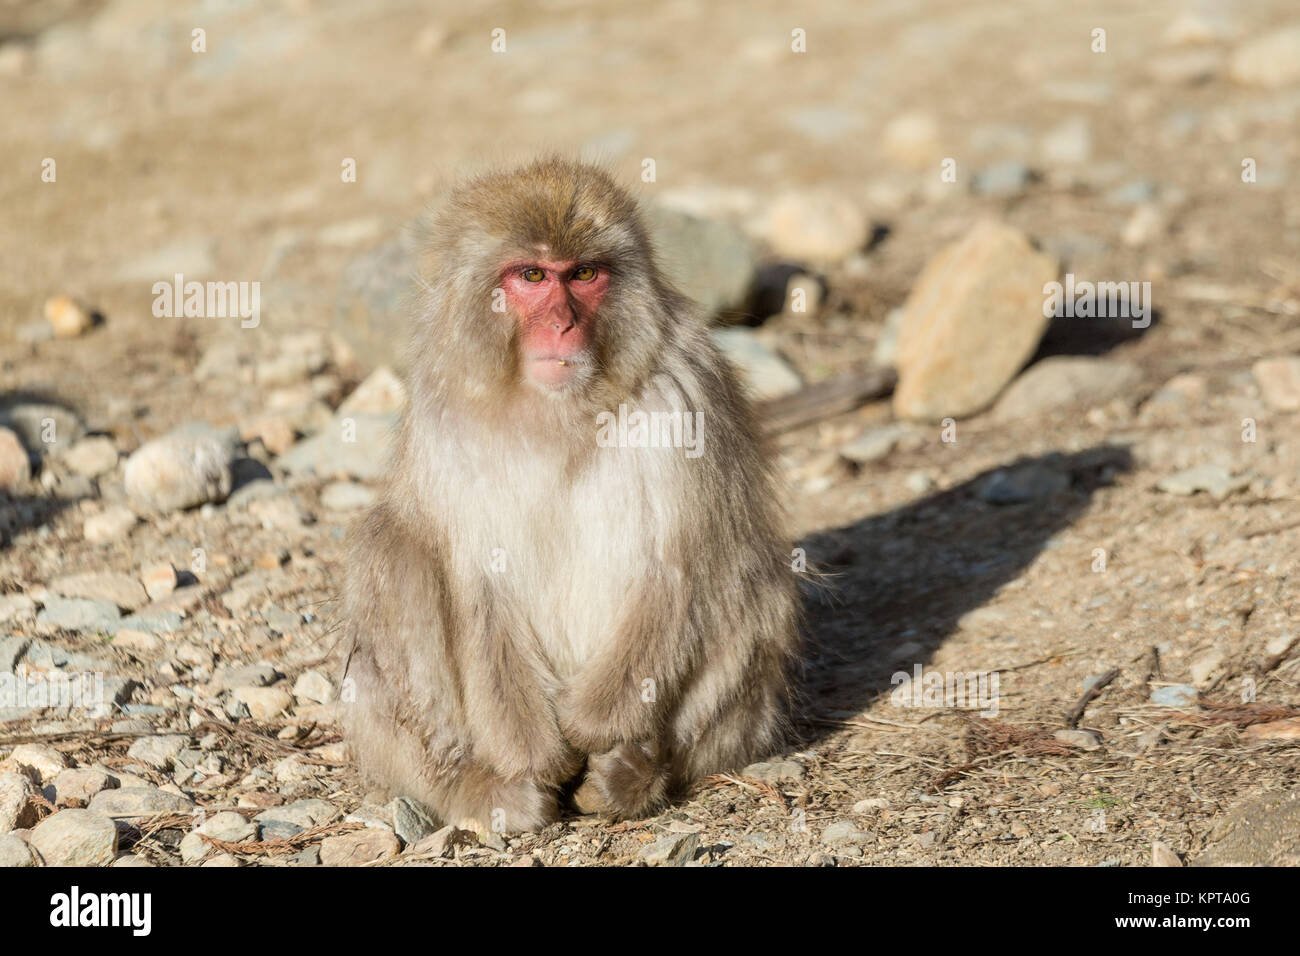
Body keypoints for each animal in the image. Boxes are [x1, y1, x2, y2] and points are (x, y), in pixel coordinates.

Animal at [340, 158, 800, 833]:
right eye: (532, 276)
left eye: (584, 274)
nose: (564, 323)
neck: (557, 411)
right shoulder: (446, 419)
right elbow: (479, 584)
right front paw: (537, 759)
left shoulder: (683, 393)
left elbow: (674, 566)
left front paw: (591, 729)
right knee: (391, 551)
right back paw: (478, 788)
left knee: (744, 570)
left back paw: (636, 772)